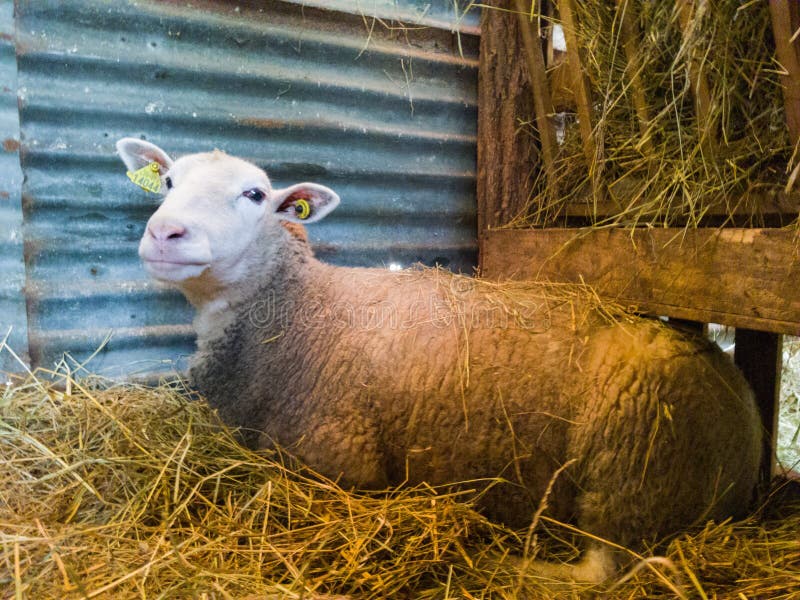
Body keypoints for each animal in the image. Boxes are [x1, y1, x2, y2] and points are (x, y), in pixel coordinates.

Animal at [117, 137, 762, 584]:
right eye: (167, 180)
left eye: (254, 195)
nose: (164, 232)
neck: (298, 310)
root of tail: (745, 409)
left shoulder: (341, 465)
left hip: (632, 471)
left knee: (604, 570)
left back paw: (507, 565)